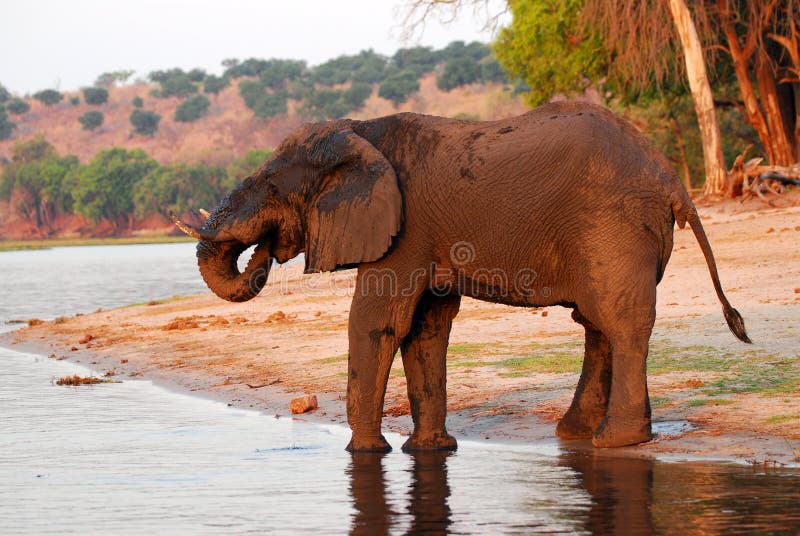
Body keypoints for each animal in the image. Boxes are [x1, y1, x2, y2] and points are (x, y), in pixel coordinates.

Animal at [174, 101, 750, 452]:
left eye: (272, 184)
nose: (265, 252)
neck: (361, 130)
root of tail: (671, 177)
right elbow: (425, 329)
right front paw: (428, 451)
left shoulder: (404, 231)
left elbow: (378, 322)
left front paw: (365, 453)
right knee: (598, 324)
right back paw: (578, 435)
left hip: (614, 224)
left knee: (620, 321)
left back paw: (615, 442)